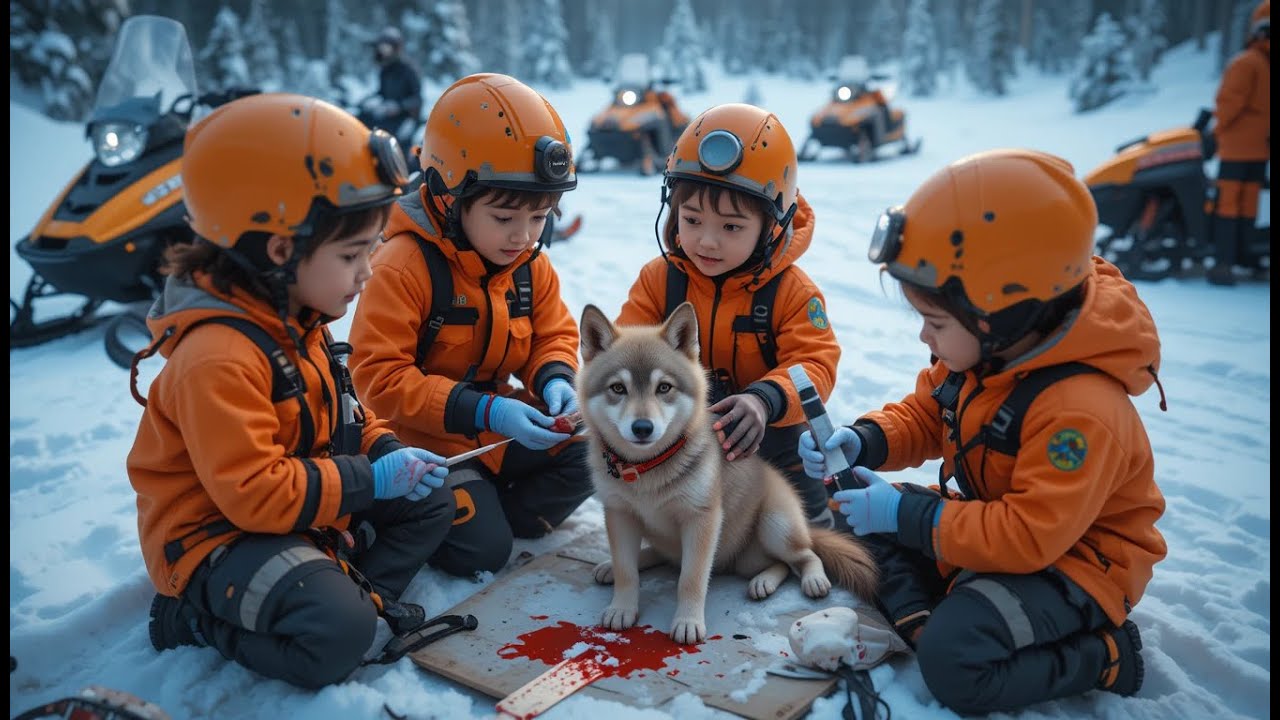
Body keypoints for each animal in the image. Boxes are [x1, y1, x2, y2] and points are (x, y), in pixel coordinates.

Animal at [576, 302, 878, 644]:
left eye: (664, 387)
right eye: (617, 388)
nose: (643, 428)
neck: (648, 467)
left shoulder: (702, 519)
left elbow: (691, 579)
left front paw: (687, 622)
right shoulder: (619, 514)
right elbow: (627, 572)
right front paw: (622, 608)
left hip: (776, 525)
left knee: (802, 557)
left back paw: (790, 580)